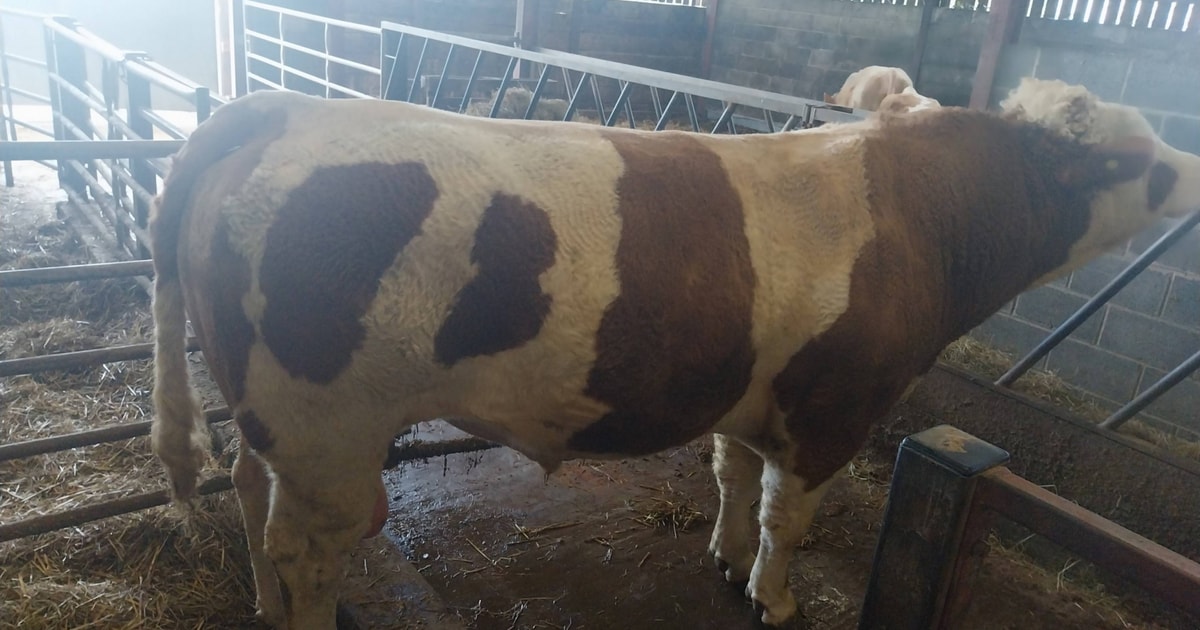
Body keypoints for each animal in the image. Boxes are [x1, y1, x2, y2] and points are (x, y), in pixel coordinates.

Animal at [149, 77, 1200, 629]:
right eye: (1132, 160)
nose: (1189, 169)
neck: (919, 215)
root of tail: (269, 108)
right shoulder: (834, 408)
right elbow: (786, 516)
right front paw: (774, 596)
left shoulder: (750, 392)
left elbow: (734, 479)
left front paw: (726, 560)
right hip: (328, 428)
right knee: (307, 547)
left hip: (272, 419)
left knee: (248, 494)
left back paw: (260, 602)